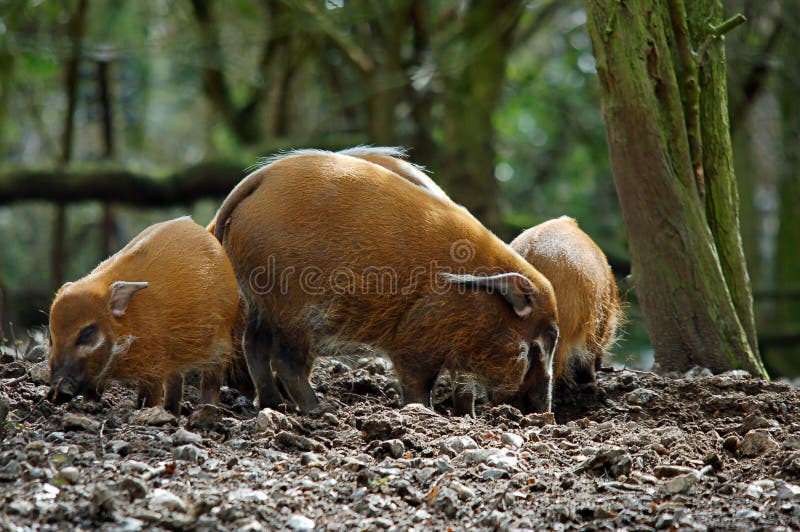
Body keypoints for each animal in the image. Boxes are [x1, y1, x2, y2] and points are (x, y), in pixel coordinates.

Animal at [48, 216, 239, 414]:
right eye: (51, 338)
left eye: (86, 334)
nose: (57, 392)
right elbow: (93, 391)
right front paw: (90, 405)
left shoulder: (155, 364)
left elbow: (148, 397)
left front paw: (144, 411)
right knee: (176, 379)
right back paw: (172, 411)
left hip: (221, 340)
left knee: (211, 380)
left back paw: (206, 409)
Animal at [212, 149, 559, 413]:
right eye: (539, 345)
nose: (544, 413)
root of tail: (259, 178)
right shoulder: (417, 339)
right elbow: (419, 383)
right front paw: (425, 413)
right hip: (294, 308)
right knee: (285, 360)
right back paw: (320, 410)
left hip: (263, 302)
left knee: (254, 345)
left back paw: (274, 405)